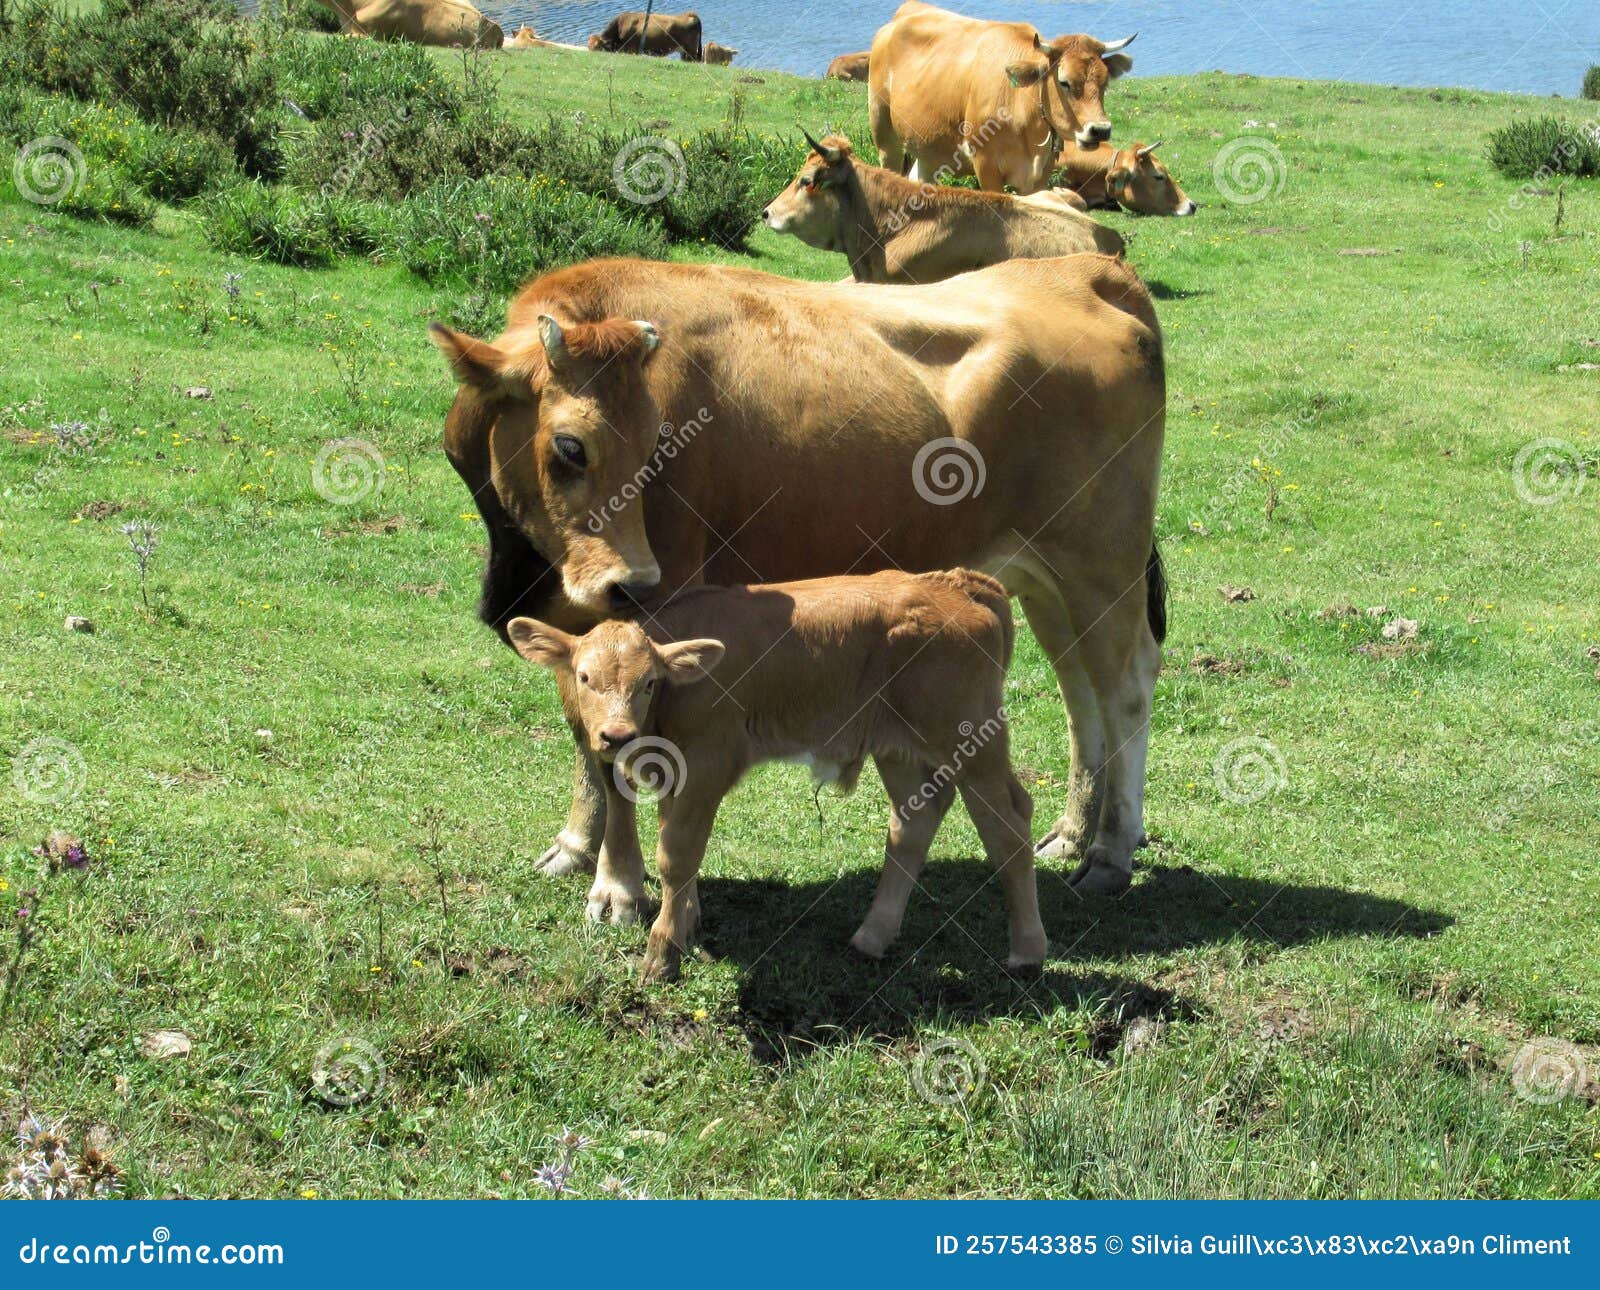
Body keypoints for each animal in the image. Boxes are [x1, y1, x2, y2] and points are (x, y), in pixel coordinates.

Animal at [431, 254, 1167, 912]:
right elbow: (589, 736)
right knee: (1080, 692)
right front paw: (577, 848)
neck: (529, 564)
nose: (632, 582)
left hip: (1102, 563)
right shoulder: (574, 624)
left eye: (657, 445)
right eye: (570, 447)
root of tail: (1086, 268)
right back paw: (1072, 833)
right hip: (1043, 576)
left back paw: (1111, 850)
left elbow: (621, 758)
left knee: (1125, 687)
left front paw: (617, 887)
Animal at [506, 569, 1047, 981]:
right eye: (584, 677)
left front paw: (662, 953)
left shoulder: (708, 762)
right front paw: (686, 924)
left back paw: (1027, 950)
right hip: (900, 749)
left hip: (971, 740)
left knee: (1009, 827)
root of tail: (957, 583)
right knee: (914, 822)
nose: (616, 735)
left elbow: (676, 855)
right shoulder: (675, 775)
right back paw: (871, 937)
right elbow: (678, 846)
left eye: (649, 683)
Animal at [868, 2, 1135, 194]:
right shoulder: (986, 166)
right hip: (884, 131)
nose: (1100, 130)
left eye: (1104, 82)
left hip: (928, 148)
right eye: (1064, 82)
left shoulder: (1041, 172)